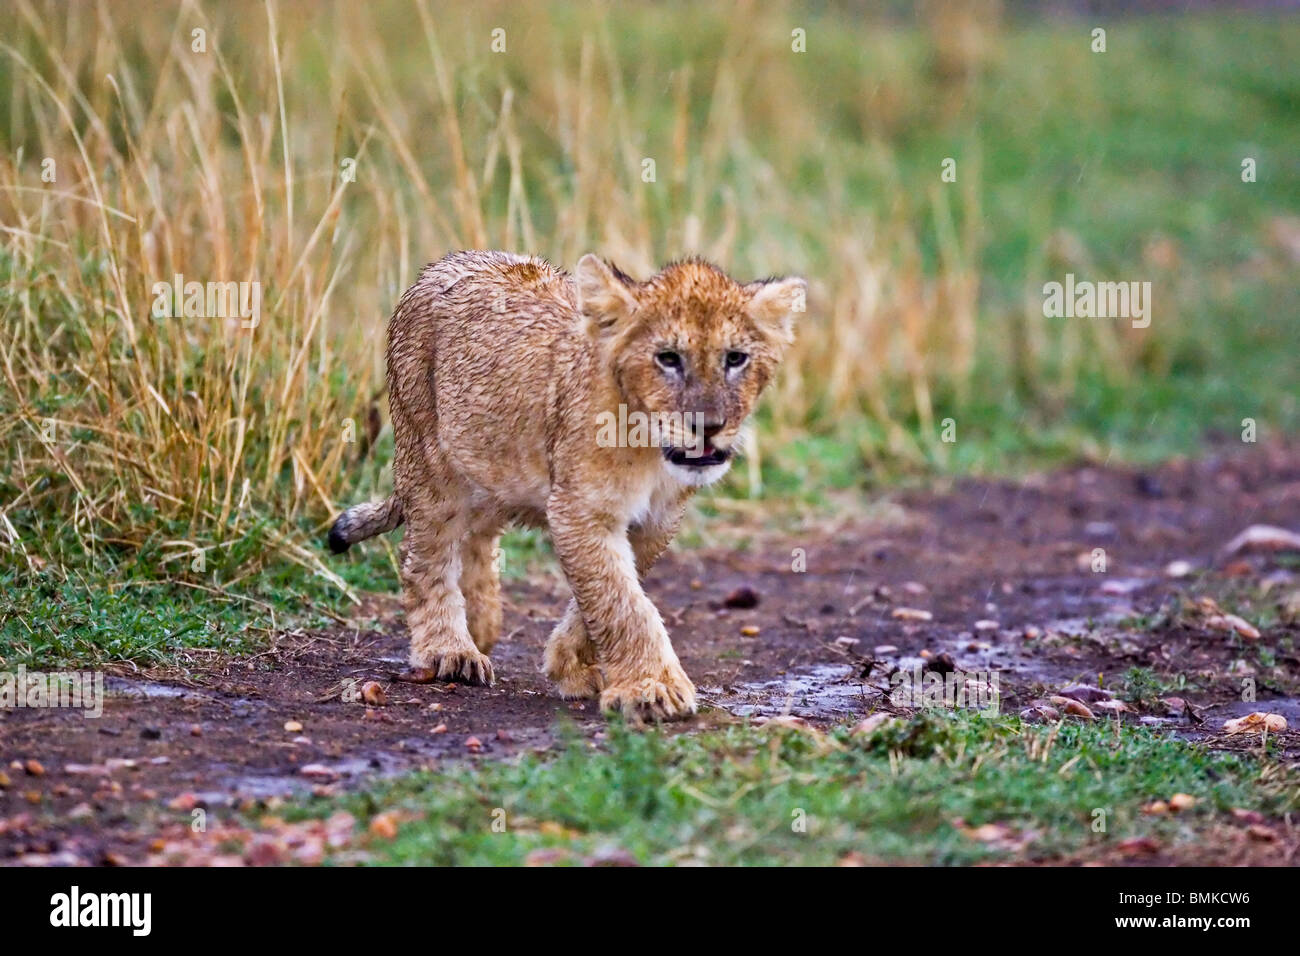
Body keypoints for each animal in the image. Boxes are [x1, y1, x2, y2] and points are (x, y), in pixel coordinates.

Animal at [328, 250, 804, 720]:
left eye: (735, 358)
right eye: (668, 358)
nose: (708, 426)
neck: (650, 447)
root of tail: (439, 265)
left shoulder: (657, 520)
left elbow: (607, 595)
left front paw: (570, 665)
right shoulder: (580, 509)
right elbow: (620, 601)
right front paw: (653, 688)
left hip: (491, 463)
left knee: (478, 537)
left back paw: (482, 621)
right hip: (428, 456)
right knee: (424, 557)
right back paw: (451, 650)